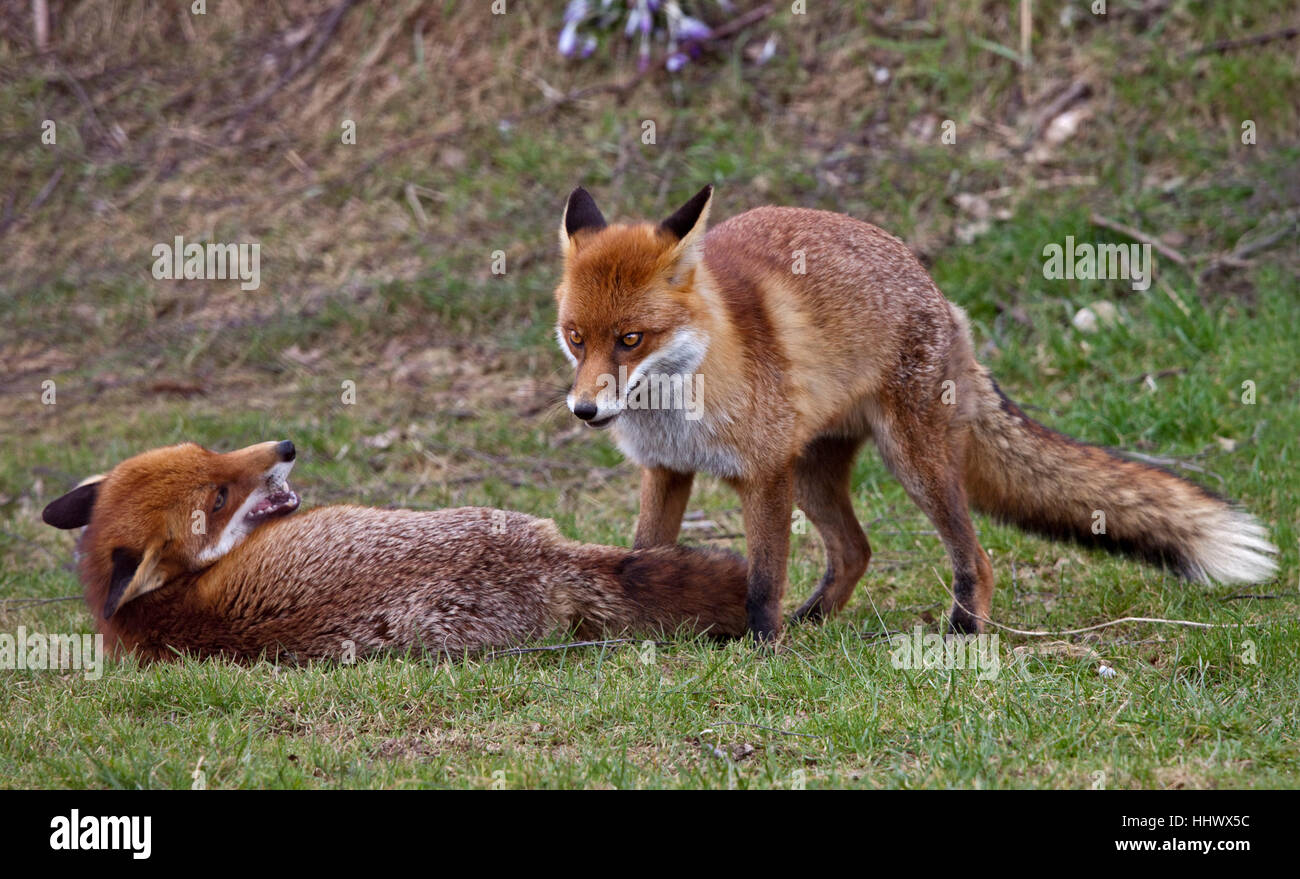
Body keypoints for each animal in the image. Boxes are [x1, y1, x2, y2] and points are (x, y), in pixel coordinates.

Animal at [553, 184, 1278, 640]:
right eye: (576, 337)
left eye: (631, 339)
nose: (585, 409)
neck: (683, 402)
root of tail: (937, 291)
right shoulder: (667, 470)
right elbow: (643, 557)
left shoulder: (763, 472)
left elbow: (762, 578)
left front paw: (761, 645)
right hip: (815, 473)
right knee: (856, 550)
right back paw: (814, 621)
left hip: (912, 465)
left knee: (974, 557)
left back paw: (962, 631)